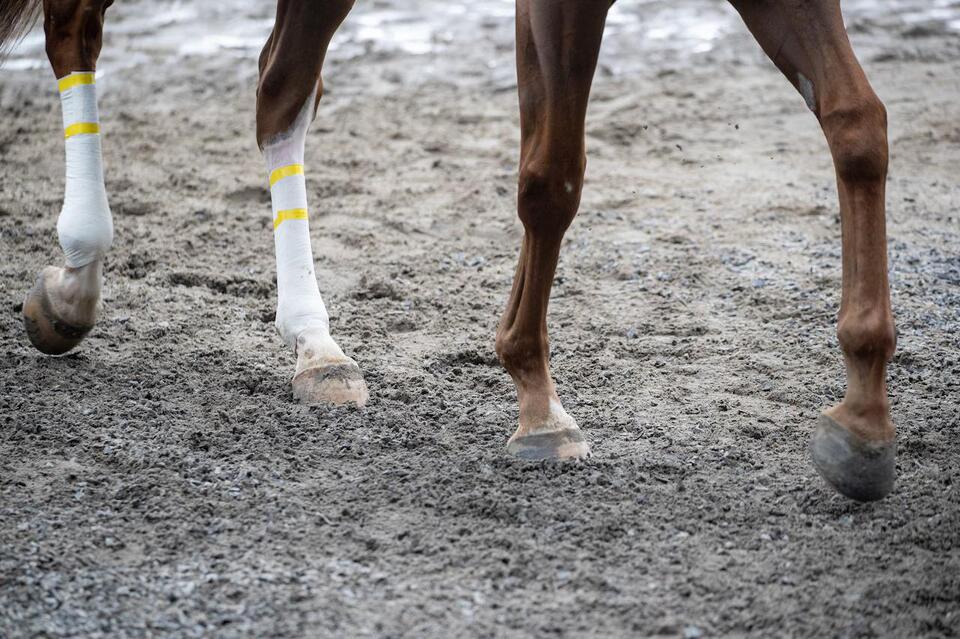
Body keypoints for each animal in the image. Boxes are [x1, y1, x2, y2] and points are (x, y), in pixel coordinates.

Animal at [0, 0, 897, 502]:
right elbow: (552, 176)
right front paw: (537, 400)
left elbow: (858, 122)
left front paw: (863, 417)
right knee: (75, 28)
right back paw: (77, 274)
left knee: (280, 91)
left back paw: (316, 347)